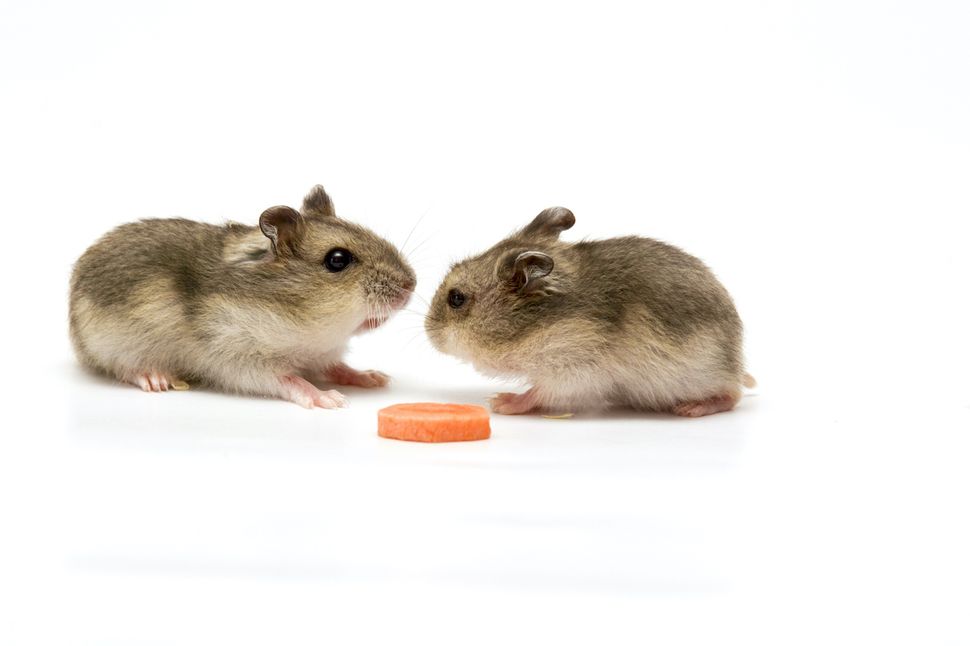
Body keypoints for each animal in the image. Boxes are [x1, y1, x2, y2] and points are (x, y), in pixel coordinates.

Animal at [69, 185, 416, 409]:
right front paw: (330, 399)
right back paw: (155, 378)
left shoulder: (320, 352)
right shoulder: (239, 359)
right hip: (111, 346)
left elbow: (336, 366)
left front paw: (376, 377)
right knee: (121, 367)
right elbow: (289, 380)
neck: (304, 323)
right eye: (337, 260)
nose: (411, 285)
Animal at [425, 207, 753, 417]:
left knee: (733, 394)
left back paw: (692, 408)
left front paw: (500, 402)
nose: (429, 334)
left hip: (702, 375)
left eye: (456, 299)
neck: (534, 325)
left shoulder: (572, 367)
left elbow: (539, 391)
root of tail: (736, 362)